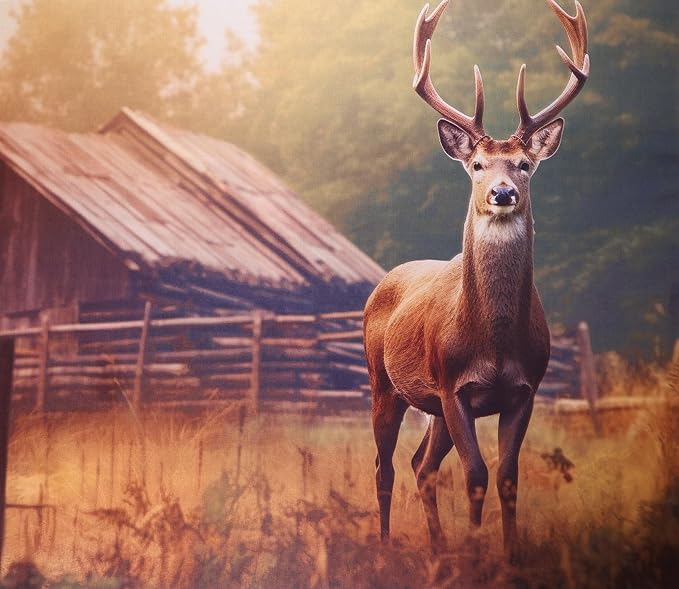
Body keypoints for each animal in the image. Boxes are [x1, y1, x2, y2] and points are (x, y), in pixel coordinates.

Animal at [363, 0, 589, 561]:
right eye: (478, 164)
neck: (495, 342)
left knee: (421, 467)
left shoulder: (526, 390)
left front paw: (507, 556)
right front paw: (475, 549)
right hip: (384, 384)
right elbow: (476, 475)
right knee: (385, 467)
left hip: (432, 409)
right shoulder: (452, 386)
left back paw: (439, 548)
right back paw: (385, 547)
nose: (502, 193)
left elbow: (507, 477)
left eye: (526, 164)